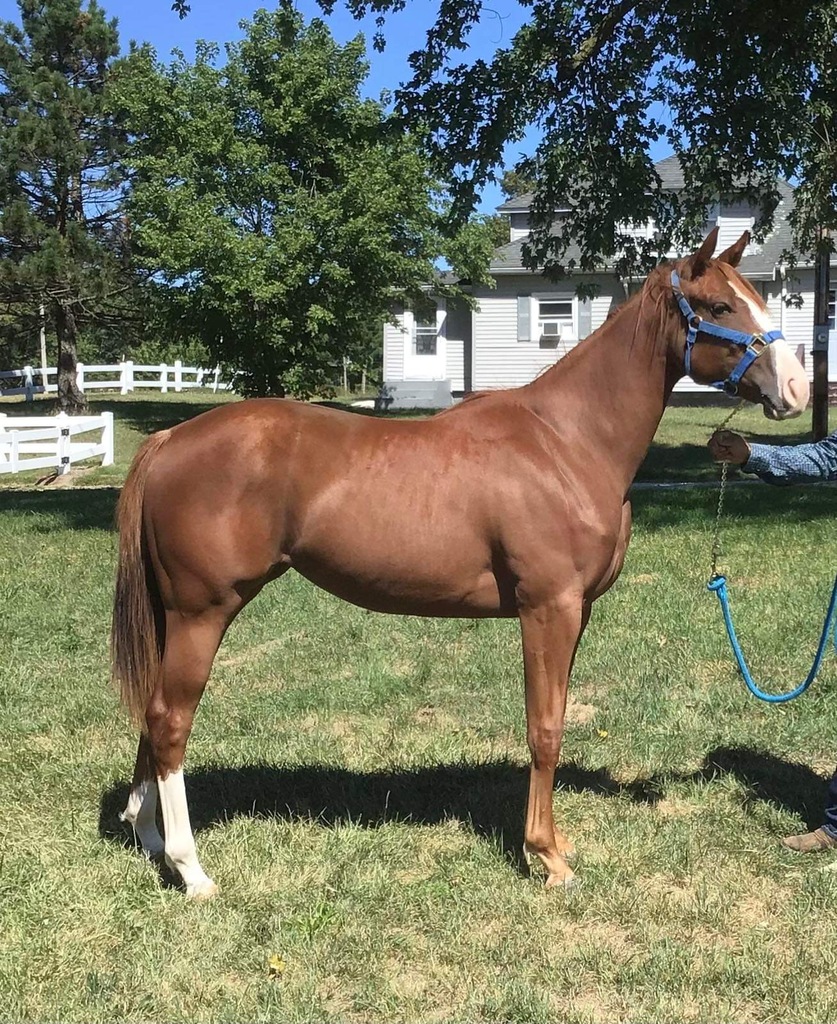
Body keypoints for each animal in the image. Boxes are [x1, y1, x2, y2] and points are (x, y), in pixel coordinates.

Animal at [112, 228, 809, 898]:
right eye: (720, 307)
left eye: (757, 297)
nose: (797, 389)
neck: (566, 441)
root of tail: (171, 439)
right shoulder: (548, 609)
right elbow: (544, 728)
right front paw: (547, 856)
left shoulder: (575, 613)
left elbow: (555, 718)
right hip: (203, 612)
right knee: (170, 721)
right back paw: (191, 869)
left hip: (177, 617)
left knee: (151, 712)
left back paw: (147, 837)